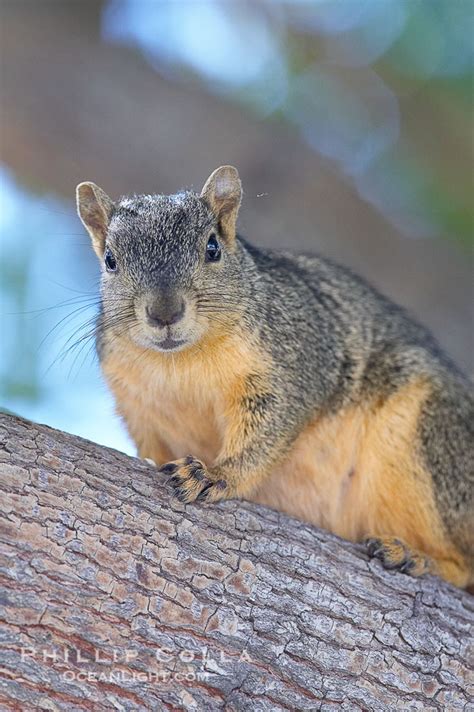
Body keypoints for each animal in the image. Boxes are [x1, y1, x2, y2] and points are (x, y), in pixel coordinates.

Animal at [76, 165, 473, 589]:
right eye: (110, 260)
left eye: (212, 248)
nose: (164, 313)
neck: (178, 364)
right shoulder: (135, 403)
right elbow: (151, 444)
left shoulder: (295, 367)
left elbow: (267, 435)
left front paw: (215, 474)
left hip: (426, 441)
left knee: (464, 562)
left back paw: (416, 557)